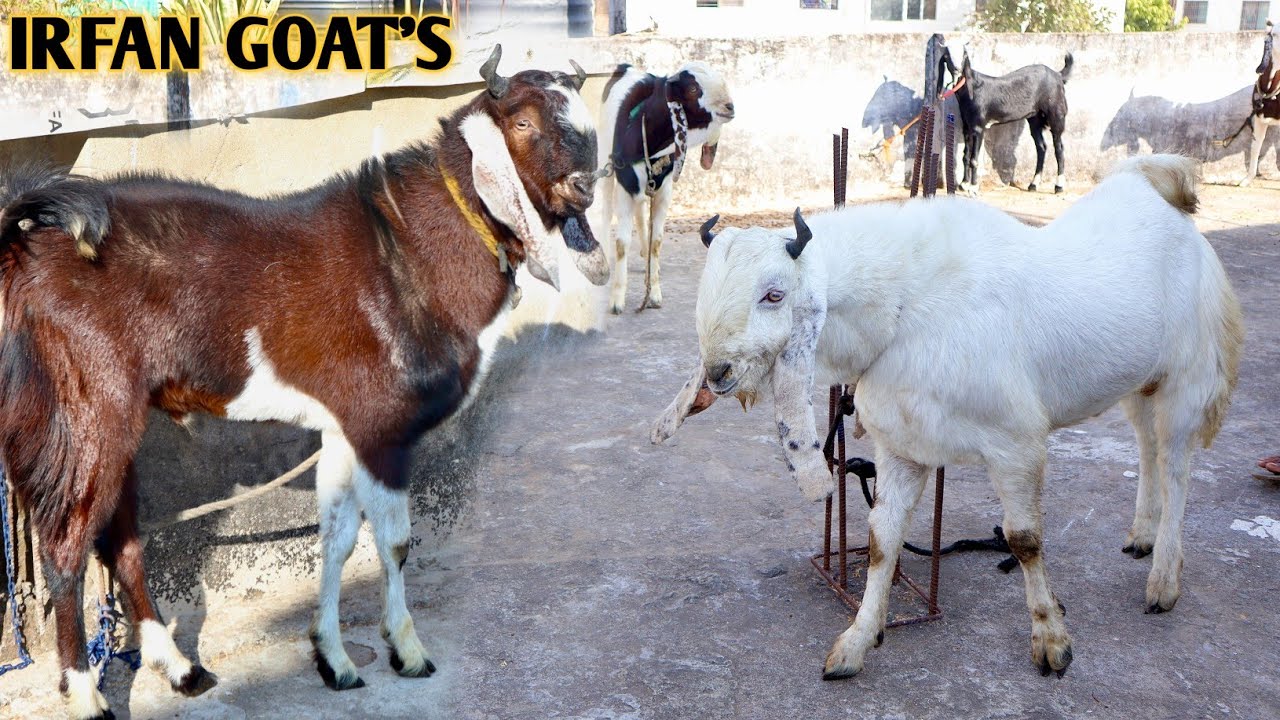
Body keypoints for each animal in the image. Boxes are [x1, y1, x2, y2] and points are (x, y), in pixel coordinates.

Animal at [0, 45, 607, 719]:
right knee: (66, 547)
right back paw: (86, 695)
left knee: (122, 537)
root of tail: (27, 247)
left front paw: (334, 660)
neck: (408, 248)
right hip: (84, 408)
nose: (585, 185)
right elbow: (394, 542)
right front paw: (408, 653)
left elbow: (338, 538)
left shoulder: (345, 426)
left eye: (582, 111)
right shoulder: (381, 426)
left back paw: (181, 669)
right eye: (522, 123)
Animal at [597, 62, 734, 313]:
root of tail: (625, 66)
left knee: (641, 212)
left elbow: (657, 242)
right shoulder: (625, 186)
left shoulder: (664, 190)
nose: (730, 106)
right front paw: (617, 300)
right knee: (605, 211)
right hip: (606, 165)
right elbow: (622, 243)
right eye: (692, 89)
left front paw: (654, 293)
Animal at [691, 155, 1242, 680]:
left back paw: (1163, 580)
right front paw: (856, 643)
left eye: (774, 294)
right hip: (1139, 380)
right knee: (1147, 445)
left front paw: (1052, 643)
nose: (717, 373)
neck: (906, 304)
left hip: (1187, 376)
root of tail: (1160, 192)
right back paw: (1142, 537)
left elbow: (1024, 541)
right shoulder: (903, 446)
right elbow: (881, 541)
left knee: (1175, 465)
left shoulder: (1016, 443)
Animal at [943, 48, 1072, 194]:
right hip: (1034, 119)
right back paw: (1033, 184)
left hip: (1057, 114)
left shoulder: (978, 127)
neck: (973, 88)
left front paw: (973, 187)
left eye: (964, 54)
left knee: (1059, 148)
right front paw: (964, 184)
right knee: (1041, 147)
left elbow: (973, 159)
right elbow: (965, 156)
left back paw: (1059, 186)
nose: (957, 69)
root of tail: (1058, 75)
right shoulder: (967, 126)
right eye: (946, 55)